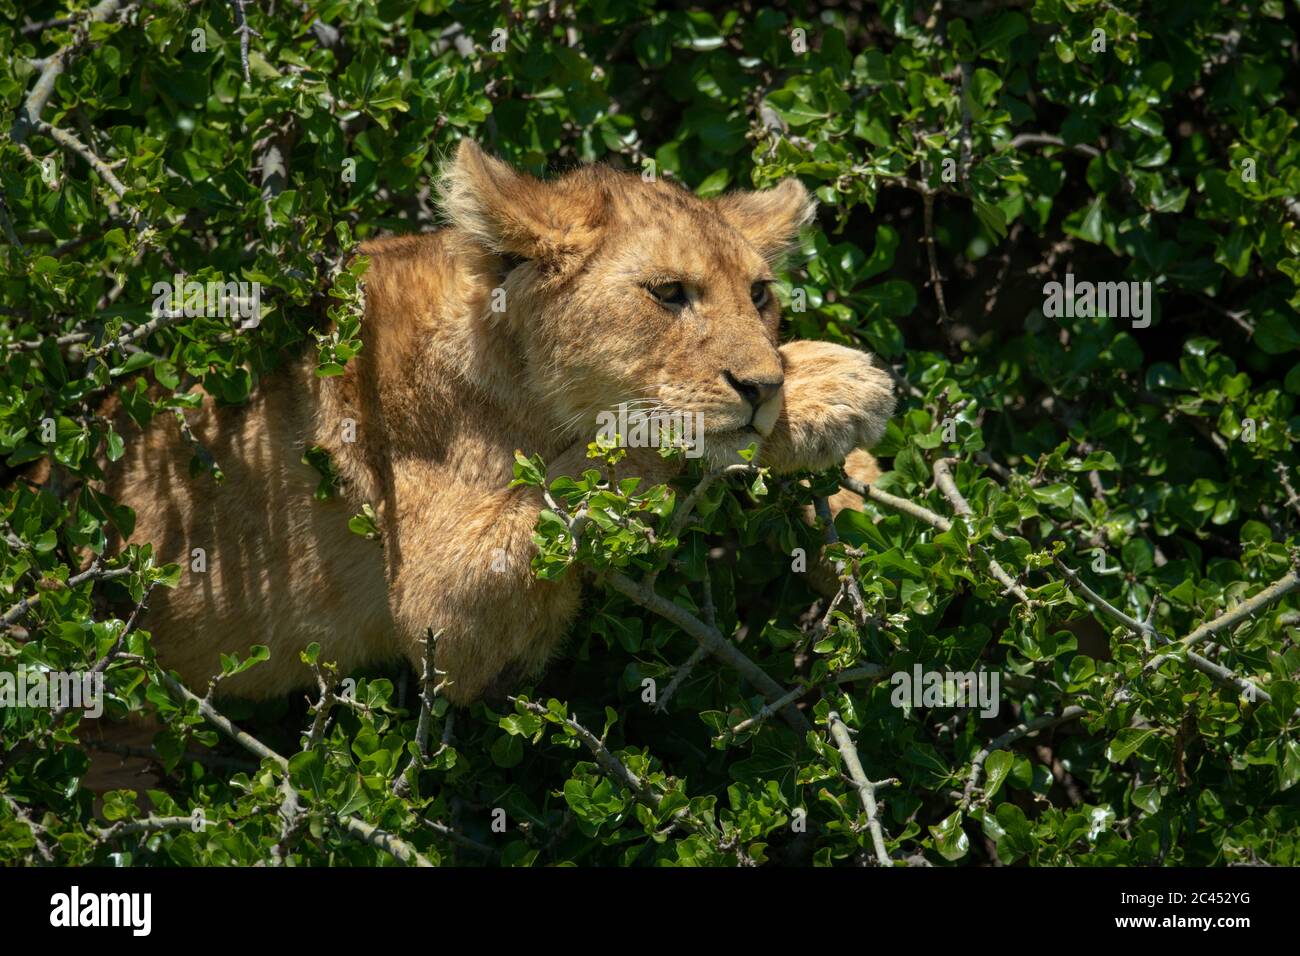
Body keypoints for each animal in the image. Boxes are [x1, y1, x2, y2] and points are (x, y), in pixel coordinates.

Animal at [106, 140, 896, 705]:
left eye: (759, 293)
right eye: (669, 292)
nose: (763, 386)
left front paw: (851, 481)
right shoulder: (442, 614)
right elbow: (608, 455)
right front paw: (828, 388)